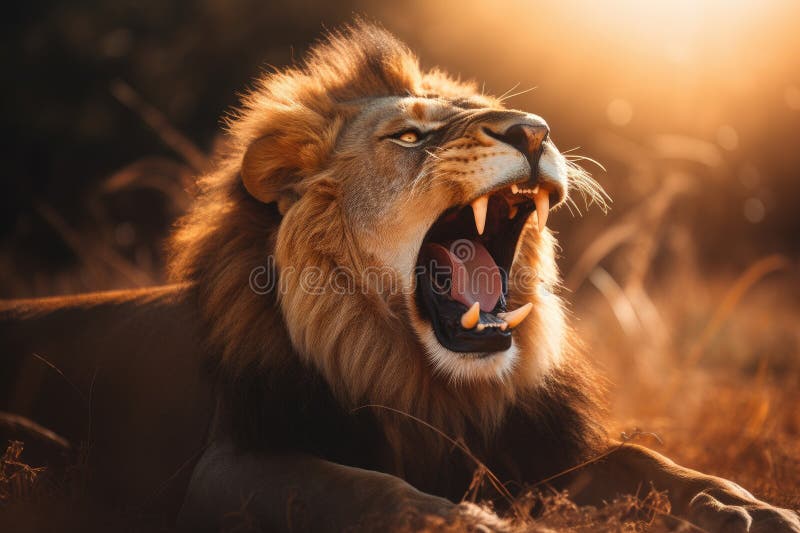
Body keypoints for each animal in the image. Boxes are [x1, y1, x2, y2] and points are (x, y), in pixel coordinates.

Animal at [1, 21, 798, 533]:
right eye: (410, 136)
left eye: (487, 113)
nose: (534, 129)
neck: (426, 381)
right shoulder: (228, 466)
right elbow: (361, 488)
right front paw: (475, 524)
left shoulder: (524, 450)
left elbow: (640, 455)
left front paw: (745, 506)